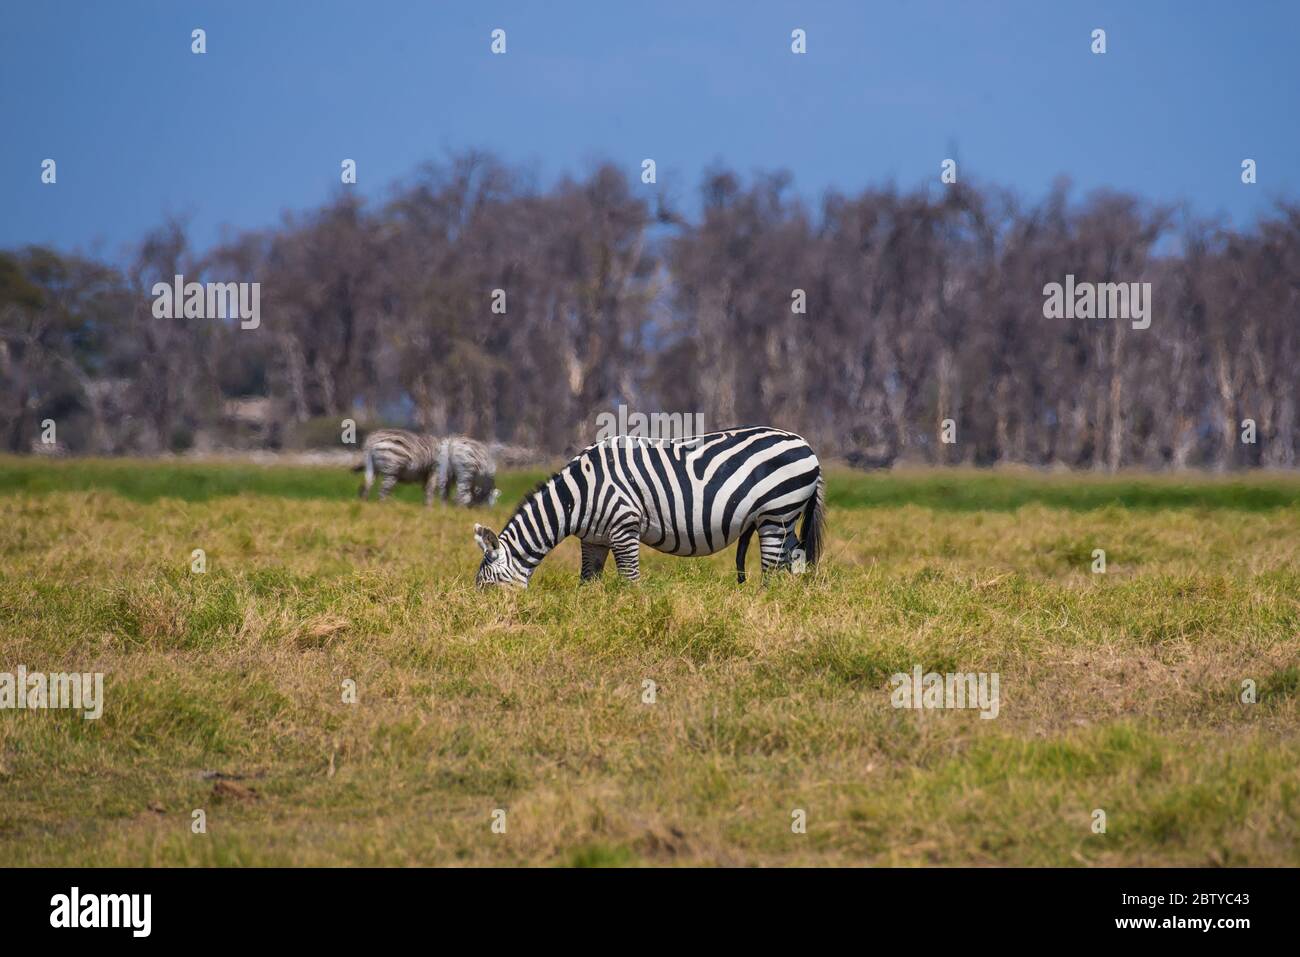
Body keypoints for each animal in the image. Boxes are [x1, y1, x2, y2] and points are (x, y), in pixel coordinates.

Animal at [354, 429, 498, 507]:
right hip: (392, 469)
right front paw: (431, 509)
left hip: (372, 467)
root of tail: (372, 440)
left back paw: (364, 505)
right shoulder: (434, 471)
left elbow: (431, 492)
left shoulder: (428, 474)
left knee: (365, 486)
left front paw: (430, 510)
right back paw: (384, 506)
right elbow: (431, 490)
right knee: (383, 491)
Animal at [473, 426, 824, 588]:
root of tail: (806, 444)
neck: (578, 495)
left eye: (487, 588)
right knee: (795, 558)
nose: (481, 621)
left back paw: (767, 601)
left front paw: (631, 617)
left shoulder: (624, 527)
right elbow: (587, 583)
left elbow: (630, 581)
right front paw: (587, 618)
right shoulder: (594, 539)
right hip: (786, 517)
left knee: (773, 569)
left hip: (776, 513)